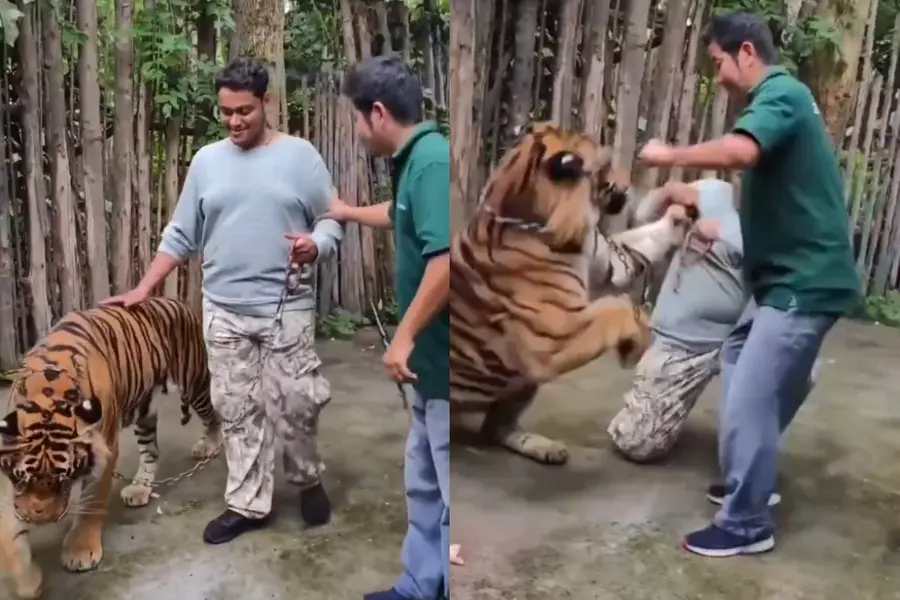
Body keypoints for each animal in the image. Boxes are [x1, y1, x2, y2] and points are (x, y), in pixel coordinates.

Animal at [0, 296, 221, 599]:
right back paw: (139, 489)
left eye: (64, 479)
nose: (40, 518)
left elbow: (92, 502)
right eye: (22, 477)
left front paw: (81, 551)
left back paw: (210, 443)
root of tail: (176, 301)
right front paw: (26, 581)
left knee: (214, 414)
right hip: (145, 410)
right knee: (151, 452)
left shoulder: (104, 449)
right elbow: (8, 530)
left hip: (194, 382)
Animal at [449, 122, 698, 466]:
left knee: (496, 428)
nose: (627, 184)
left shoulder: (611, 259)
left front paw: (679, 214)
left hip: (521, 383)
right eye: (605, 165)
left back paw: (543, 448)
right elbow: (617, 306)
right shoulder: (552, 334)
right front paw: (634, 346)